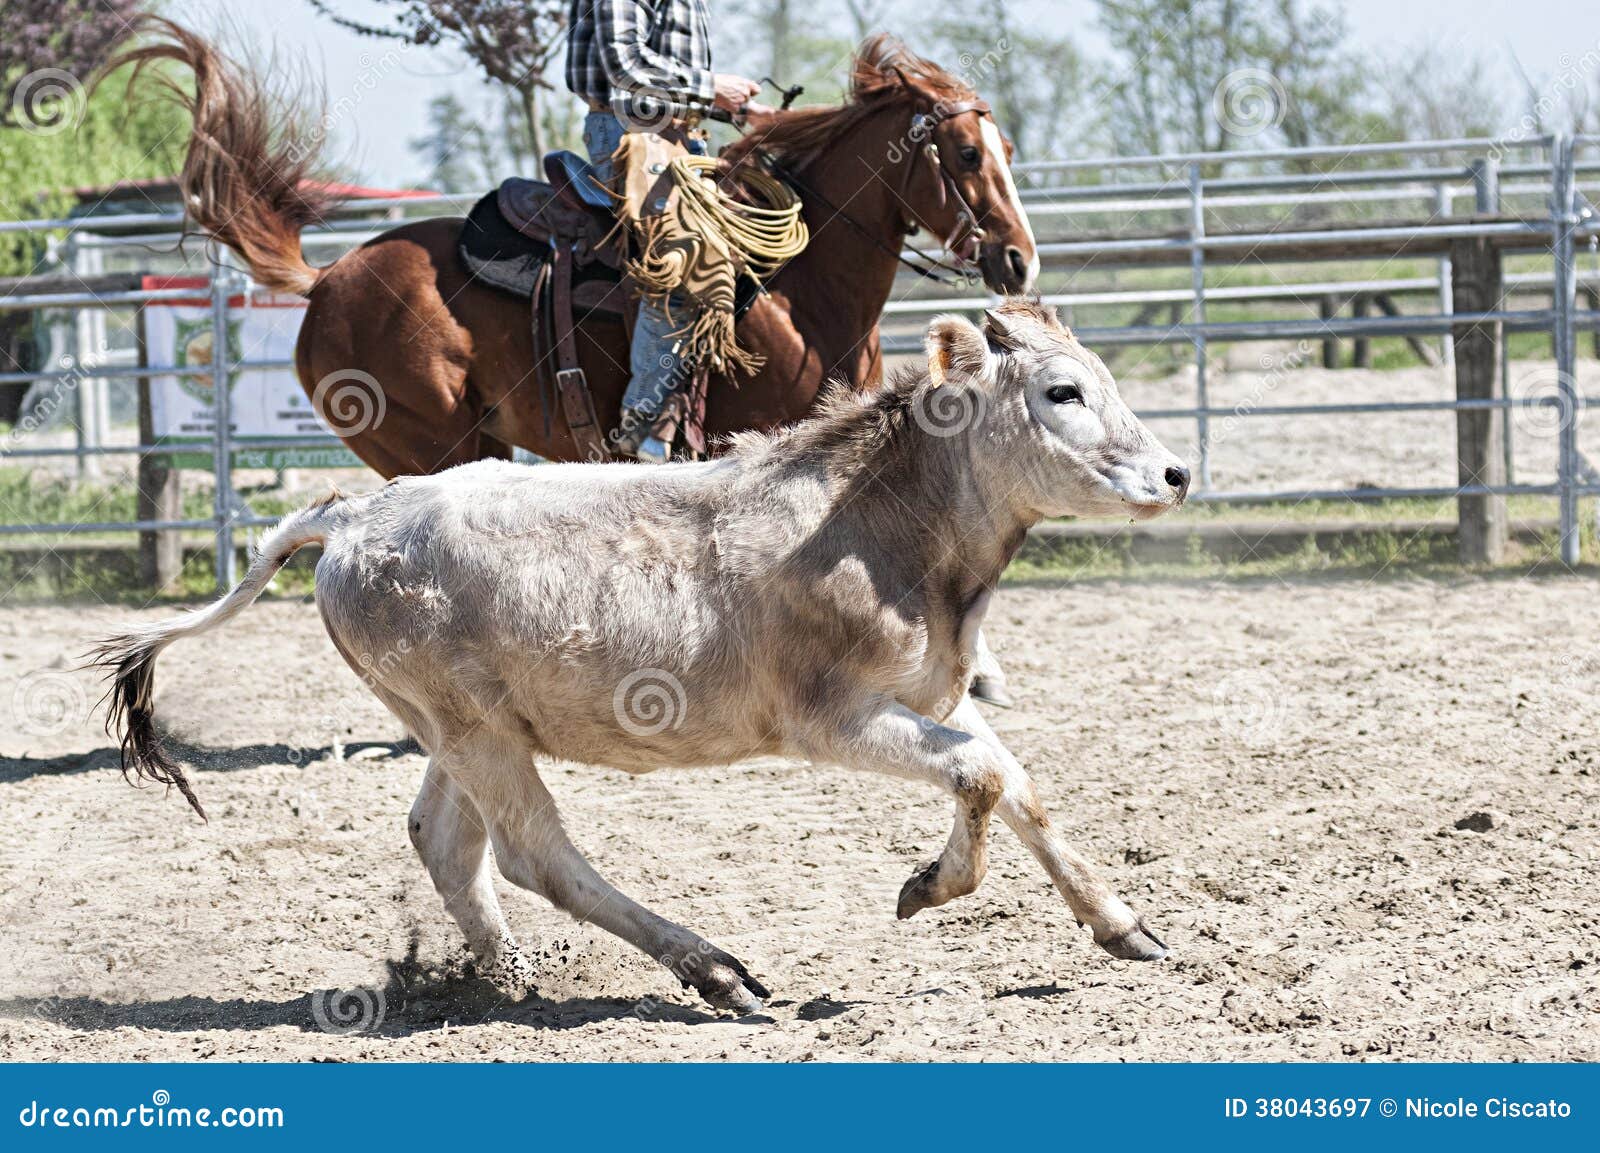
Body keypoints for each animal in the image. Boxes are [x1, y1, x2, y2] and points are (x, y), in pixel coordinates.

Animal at [94, 299, 1190, 1013]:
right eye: (1062, 390)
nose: (1177, 472)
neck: (875, 520)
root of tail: (358, 513)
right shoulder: (832, 716)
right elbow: (982, 772)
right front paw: (927, 886)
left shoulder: (931, 691)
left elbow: (1015, 780)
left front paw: (1122, 923)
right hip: (476, 730)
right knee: (535, 852)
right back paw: (712, 969)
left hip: (458, 727)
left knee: (445, 840)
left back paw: (512, 978)